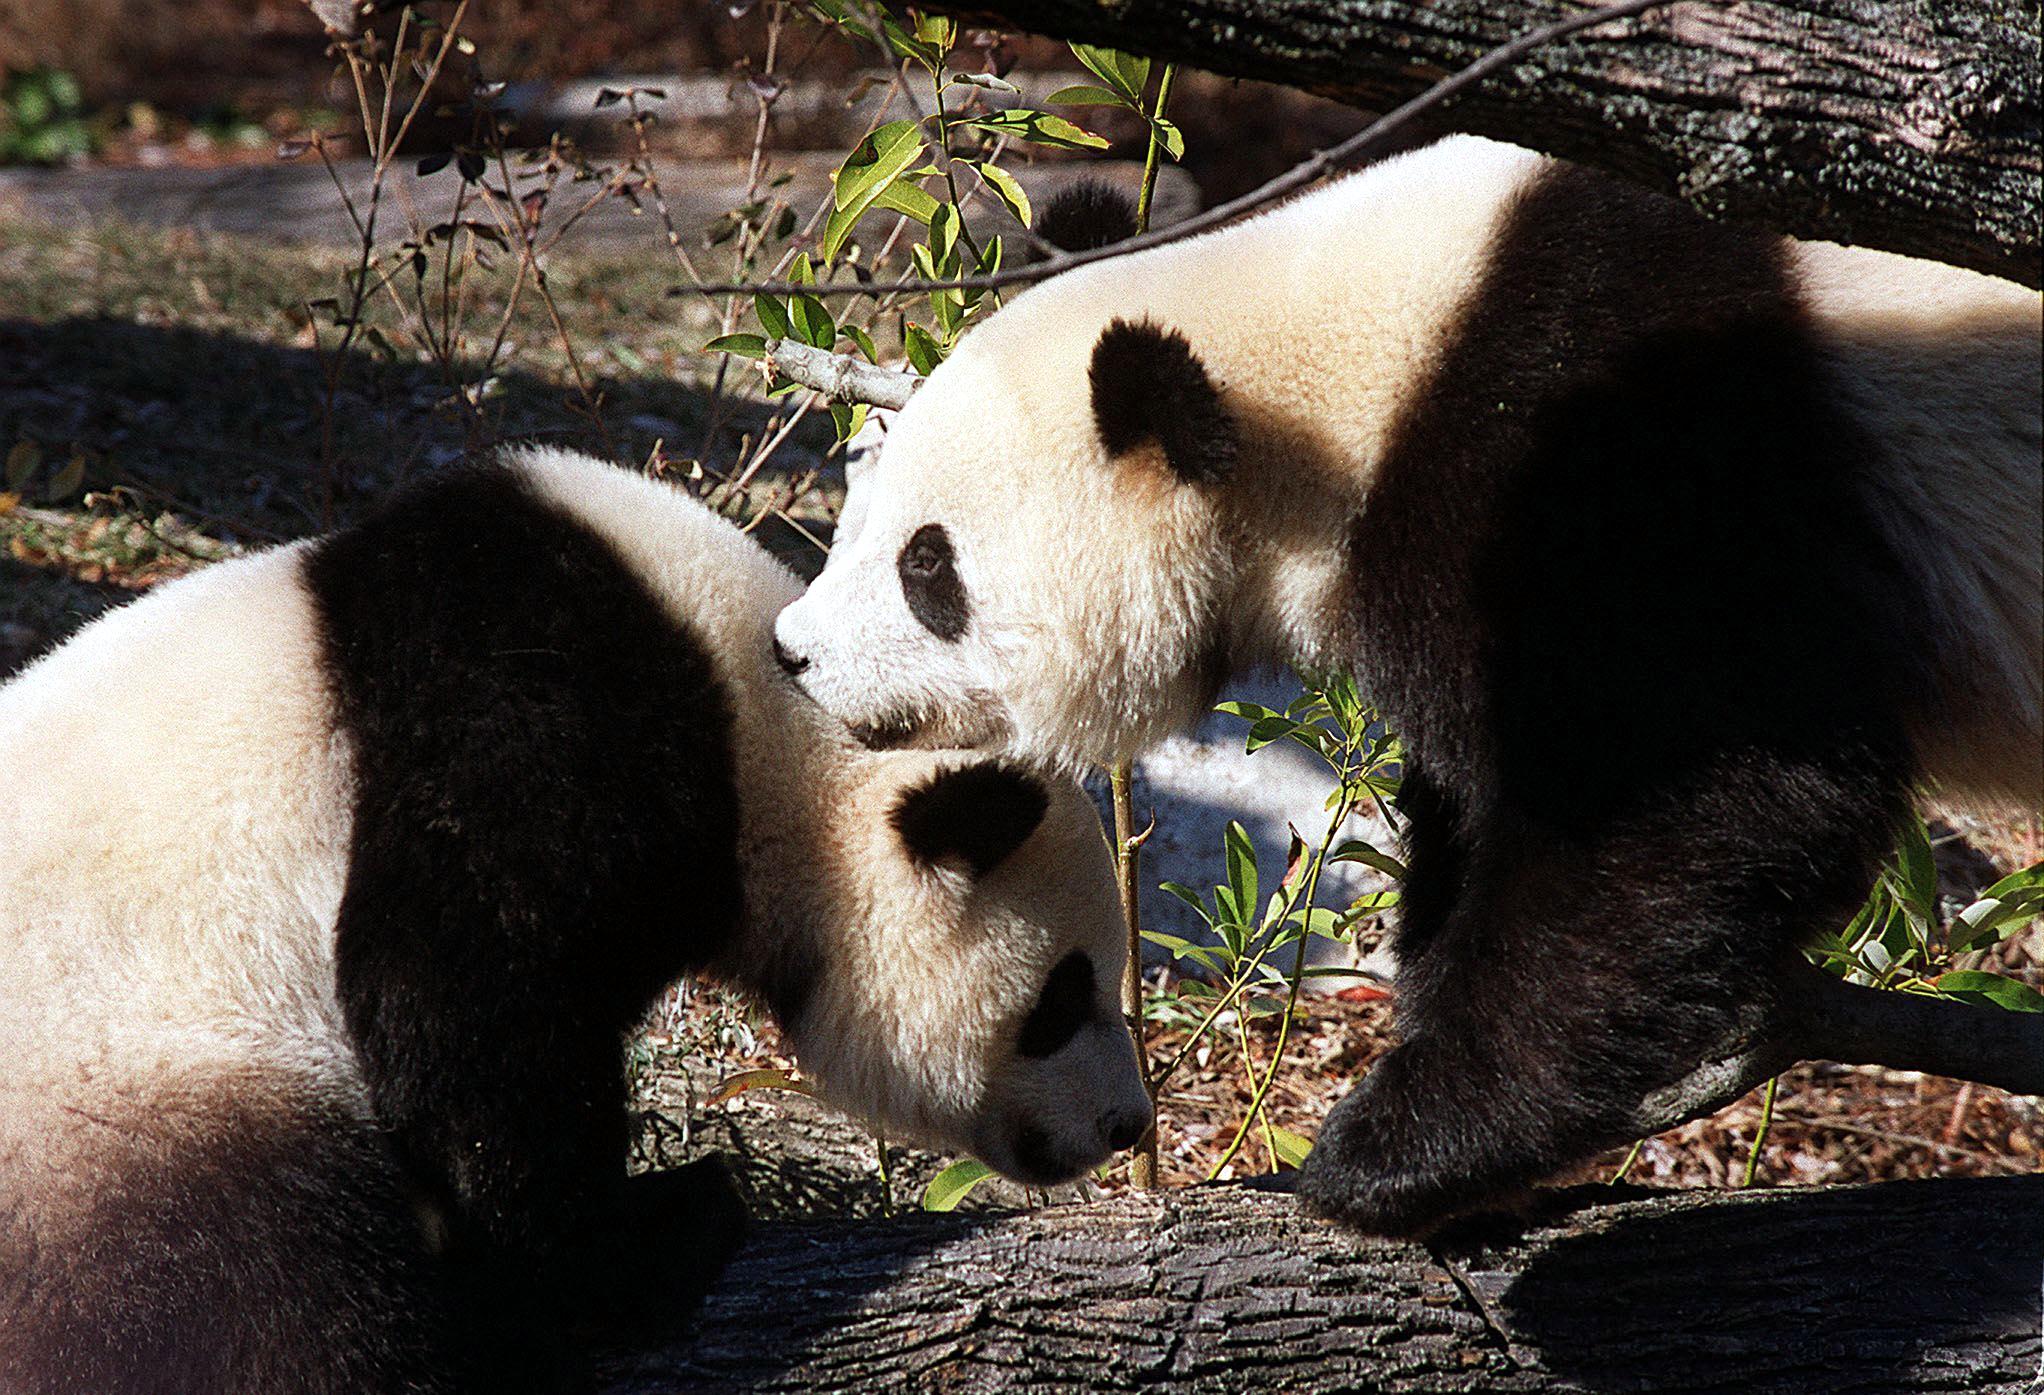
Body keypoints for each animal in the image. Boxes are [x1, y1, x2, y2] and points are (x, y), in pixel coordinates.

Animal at [0, 446, 1151, 1394]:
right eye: (1063, 997)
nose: (1125, 1125)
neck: (774, 729)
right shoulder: (545, 711)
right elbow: (462, 994)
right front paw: (640, 1235)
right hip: (143, 1088)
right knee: (274, 1308)